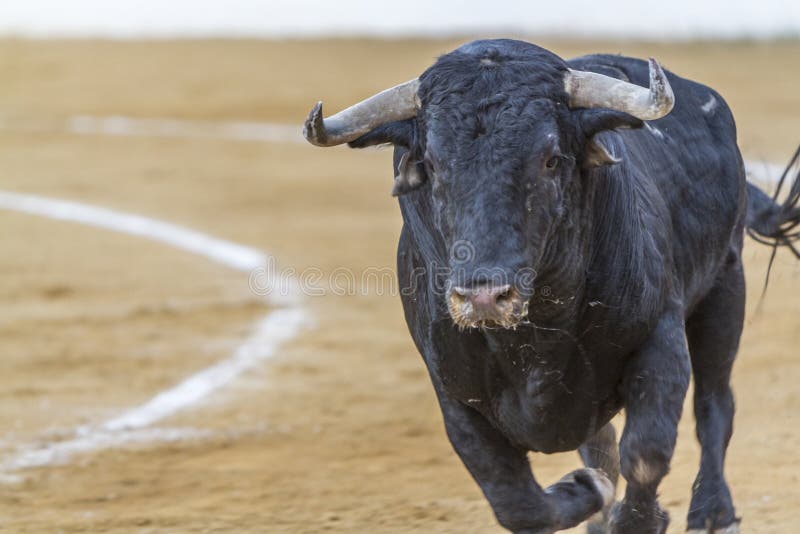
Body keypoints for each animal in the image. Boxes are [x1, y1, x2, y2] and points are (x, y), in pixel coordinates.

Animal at [302, 39, 800, 533]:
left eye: (550, 159)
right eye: (432, 164)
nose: (483, 296)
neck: (535, 337)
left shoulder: (661, 338)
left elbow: (646, 453)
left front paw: (636, 517)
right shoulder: (455, 392)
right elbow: (516, 499)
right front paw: (587, 490)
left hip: (725, 289)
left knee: (714, 405)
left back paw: (713, 513)